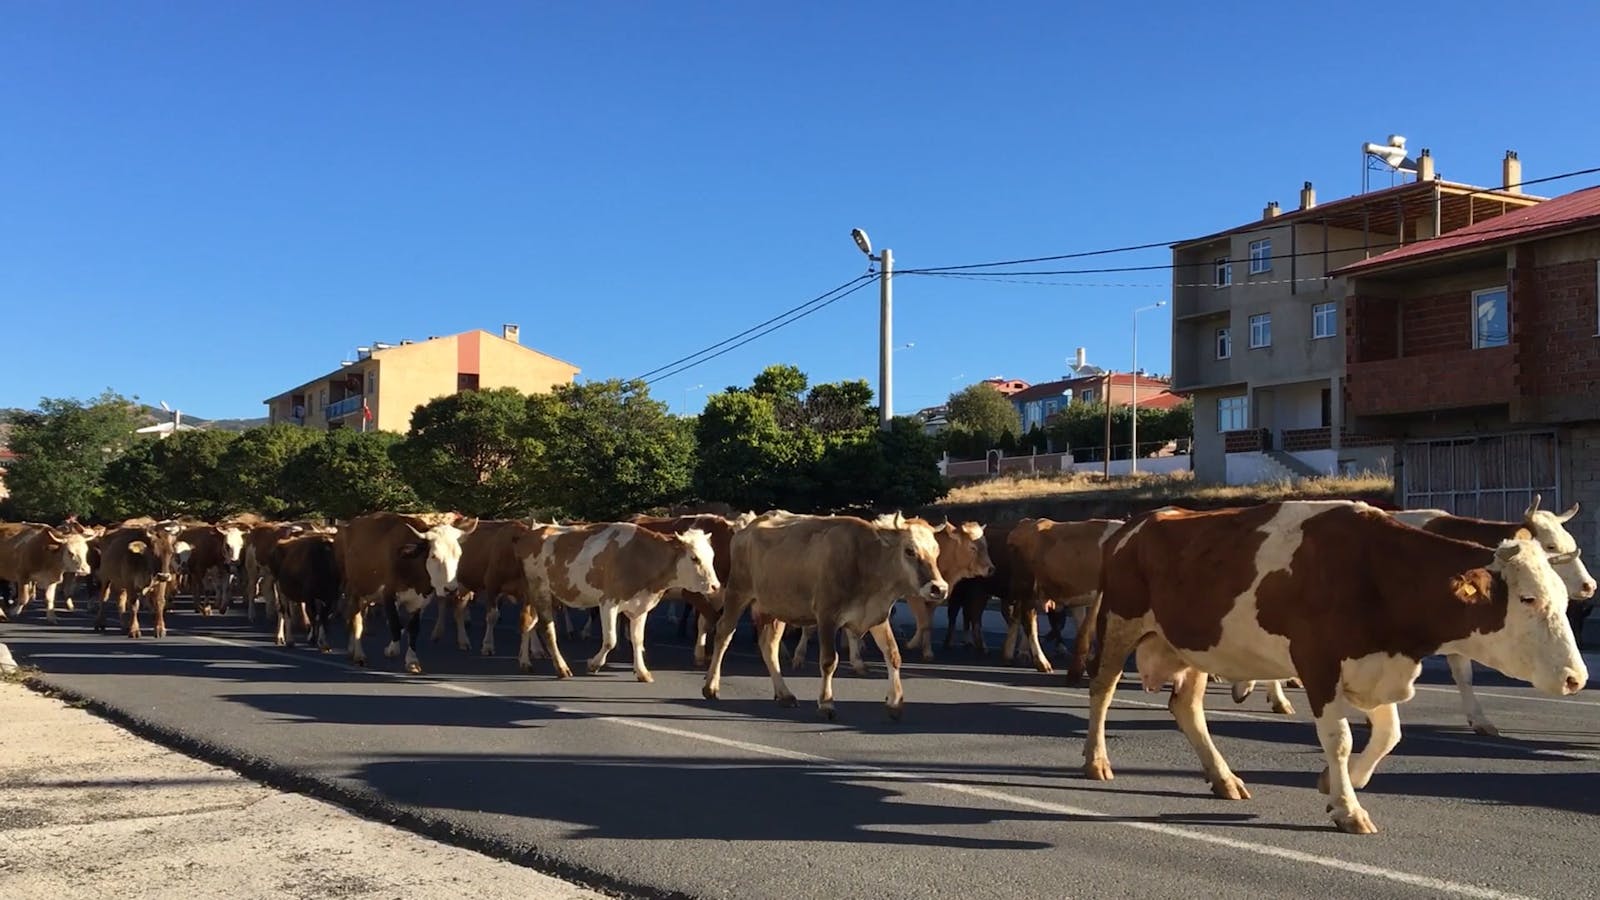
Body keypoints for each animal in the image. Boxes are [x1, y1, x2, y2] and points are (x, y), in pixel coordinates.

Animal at [334, 512, 478, 673]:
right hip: (353, 589)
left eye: (458, 554)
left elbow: (413, 629)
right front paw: (392, 649)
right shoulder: (388, 594)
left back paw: (352, 649)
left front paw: (412, 661)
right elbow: (395, 623)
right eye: (434, 555)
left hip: (365, 592)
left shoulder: (420, 601)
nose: (451, 589)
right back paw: (358, 654)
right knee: (356, 620)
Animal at [514, 522, 720, 682]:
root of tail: (535, 529)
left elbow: (637, 640)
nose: (715, 586)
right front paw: (594, 664)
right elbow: (610, 640)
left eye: (712, 557)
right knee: (546, 629)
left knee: (529, 624)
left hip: (544, 595)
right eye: (694, 558)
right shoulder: (608, 602)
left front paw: (642, 672)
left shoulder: (640, 606)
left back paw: (525, 661)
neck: (641, 557)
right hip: (539, 590)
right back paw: (559, 667)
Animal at [702, 511, 947, 720]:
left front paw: (895, 703)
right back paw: (711, 686)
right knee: (724, 633)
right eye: (909, 550)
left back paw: (784, 694)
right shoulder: (827, 616)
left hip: (775, 607)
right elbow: (829, 660)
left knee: (768, 645)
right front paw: (827, 703)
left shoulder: (877, 616)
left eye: (936, 551)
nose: (939, 588)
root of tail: (748, 526)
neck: (866, 561)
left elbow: (893, 654)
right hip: (738, 592)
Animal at [790, 516, 993, 672]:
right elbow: (924, 623)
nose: (991, 569)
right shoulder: (915, 597)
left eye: (986, 545)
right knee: (810, 627)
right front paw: (921, 649)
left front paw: (920, 645)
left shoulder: (934, 596)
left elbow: (926, 623)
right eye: (973, 547)